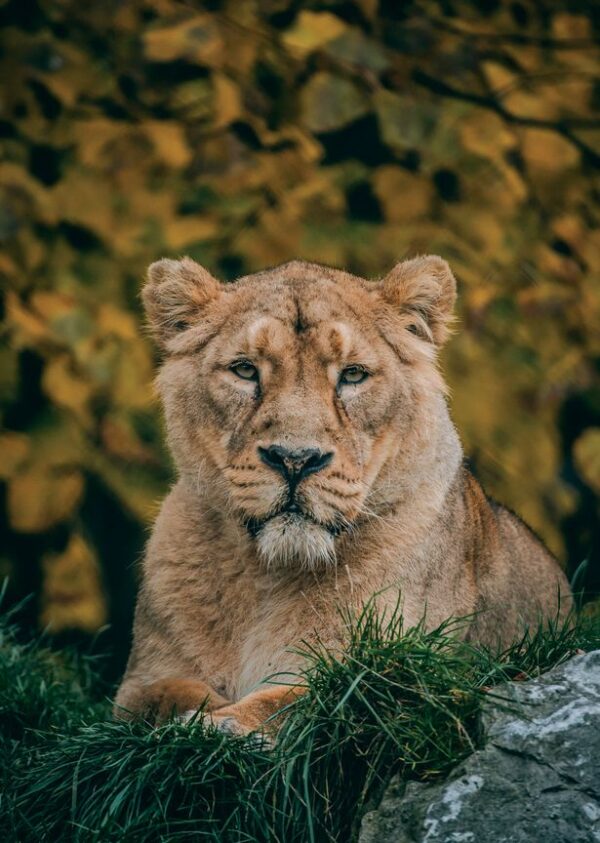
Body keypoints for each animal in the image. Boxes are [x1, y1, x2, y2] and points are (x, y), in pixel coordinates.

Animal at [114, 255, 572, 734]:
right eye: (244, 369)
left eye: (353, 375)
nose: (295, 459)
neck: (269, 576)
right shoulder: (142, 679)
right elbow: (159, 696)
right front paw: (197, 716)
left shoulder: (405, 674)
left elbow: (300, 699)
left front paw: (220, 724)